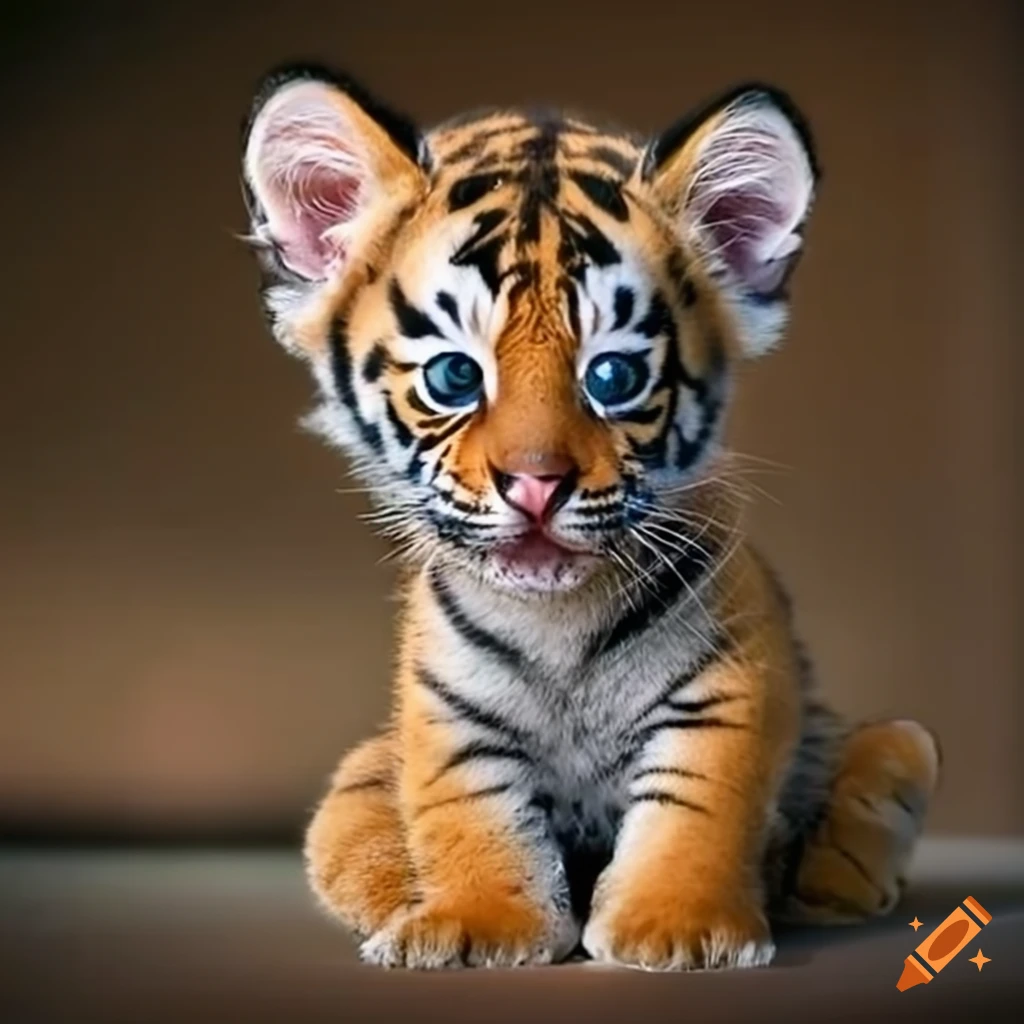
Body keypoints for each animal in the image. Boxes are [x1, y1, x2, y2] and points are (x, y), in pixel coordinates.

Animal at [239, 62, 941, 971]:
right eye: (454, 377)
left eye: (613, 376)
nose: (537, 485)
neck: (557, 622)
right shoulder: (449, 711)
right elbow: (471, 812)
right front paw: (479, 925)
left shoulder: (731, 681)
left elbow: (698, 802)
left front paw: (676, 929)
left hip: (901, 742)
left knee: (886, 759)